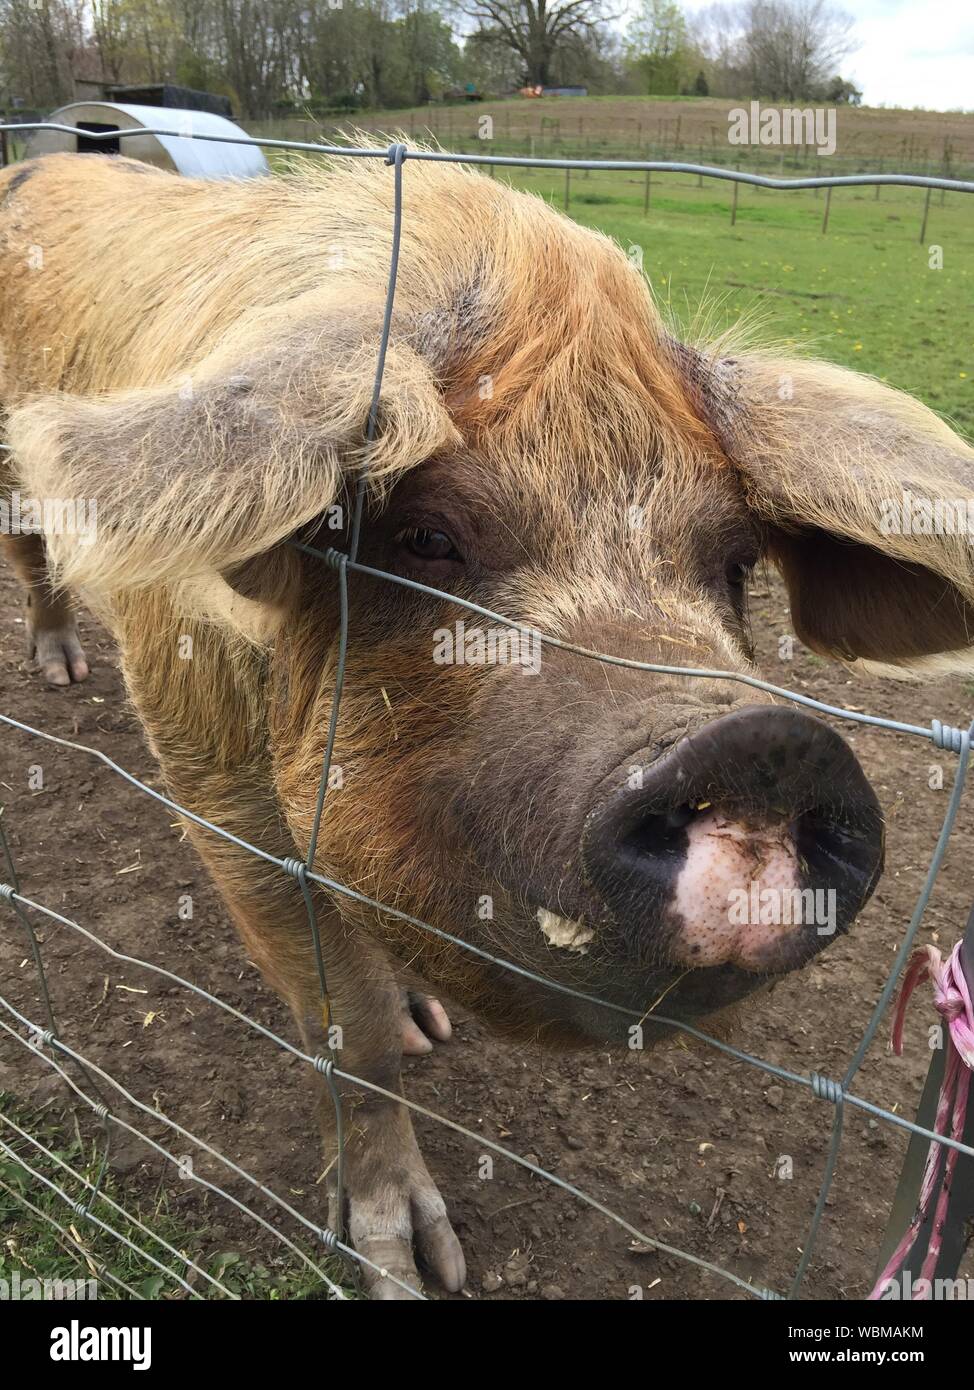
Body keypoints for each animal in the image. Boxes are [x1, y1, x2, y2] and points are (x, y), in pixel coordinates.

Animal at [2, 150, 973, 1297]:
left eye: (735, 562)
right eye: (426, 537)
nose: (770, 747)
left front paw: (427, 1035)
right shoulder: (214, 785)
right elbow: (351, 1035)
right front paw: (410, 1267)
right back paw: (58, 673)